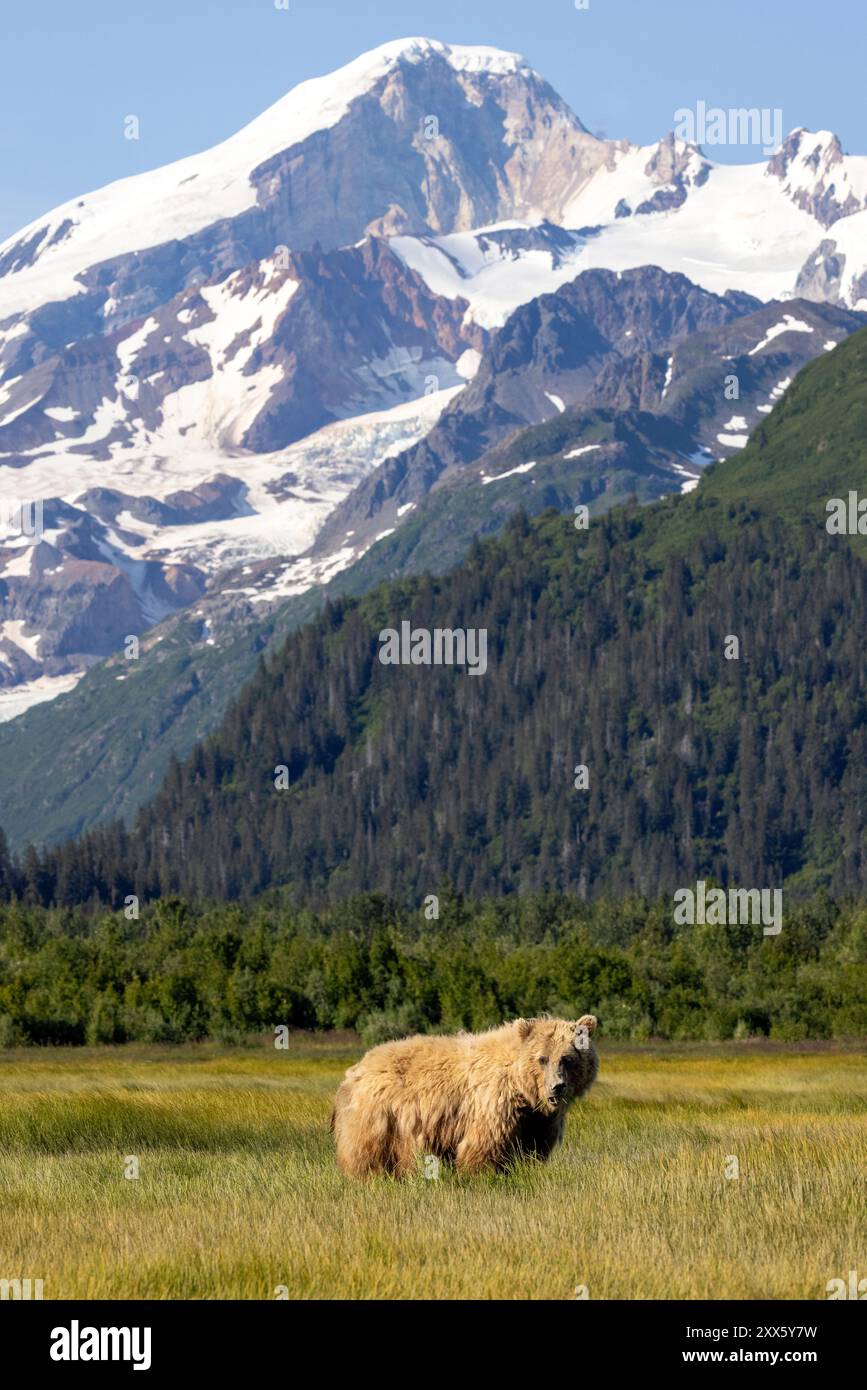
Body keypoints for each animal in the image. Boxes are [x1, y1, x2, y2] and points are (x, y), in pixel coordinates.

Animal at [331, 1014, 598, 1177]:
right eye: (542, 1059)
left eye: (567, 1059)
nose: (557, 1087)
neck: (523, 1090)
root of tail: (354, 1070)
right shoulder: (493, 1104)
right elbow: (483, 1146)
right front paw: (482, 1174)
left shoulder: (536, 1120)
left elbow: (532, 1147)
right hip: (381, 1116)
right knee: (366, 1152)